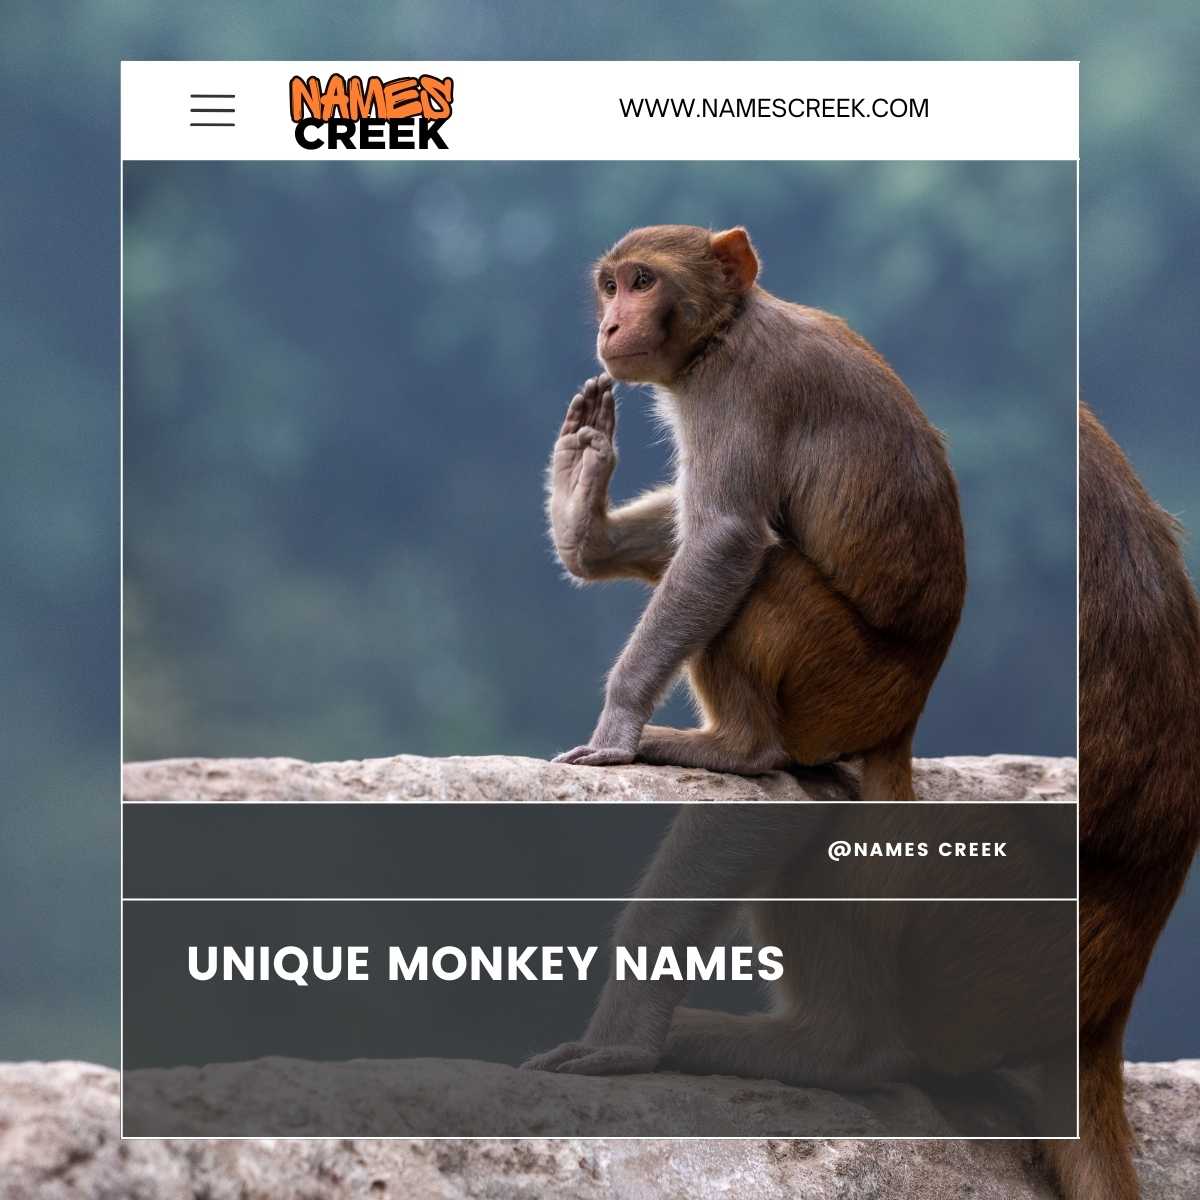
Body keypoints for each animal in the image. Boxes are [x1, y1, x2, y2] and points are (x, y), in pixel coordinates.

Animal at [547, 224, 966, 800]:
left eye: (643, 281)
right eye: (611, 287)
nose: (610, 324)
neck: (725, 329)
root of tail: (904, 720)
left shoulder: (737, 388)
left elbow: (724, 537)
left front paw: (617, 724)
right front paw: (582, 516)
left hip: (841, 688)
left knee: (763, 570)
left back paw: (736, 748)